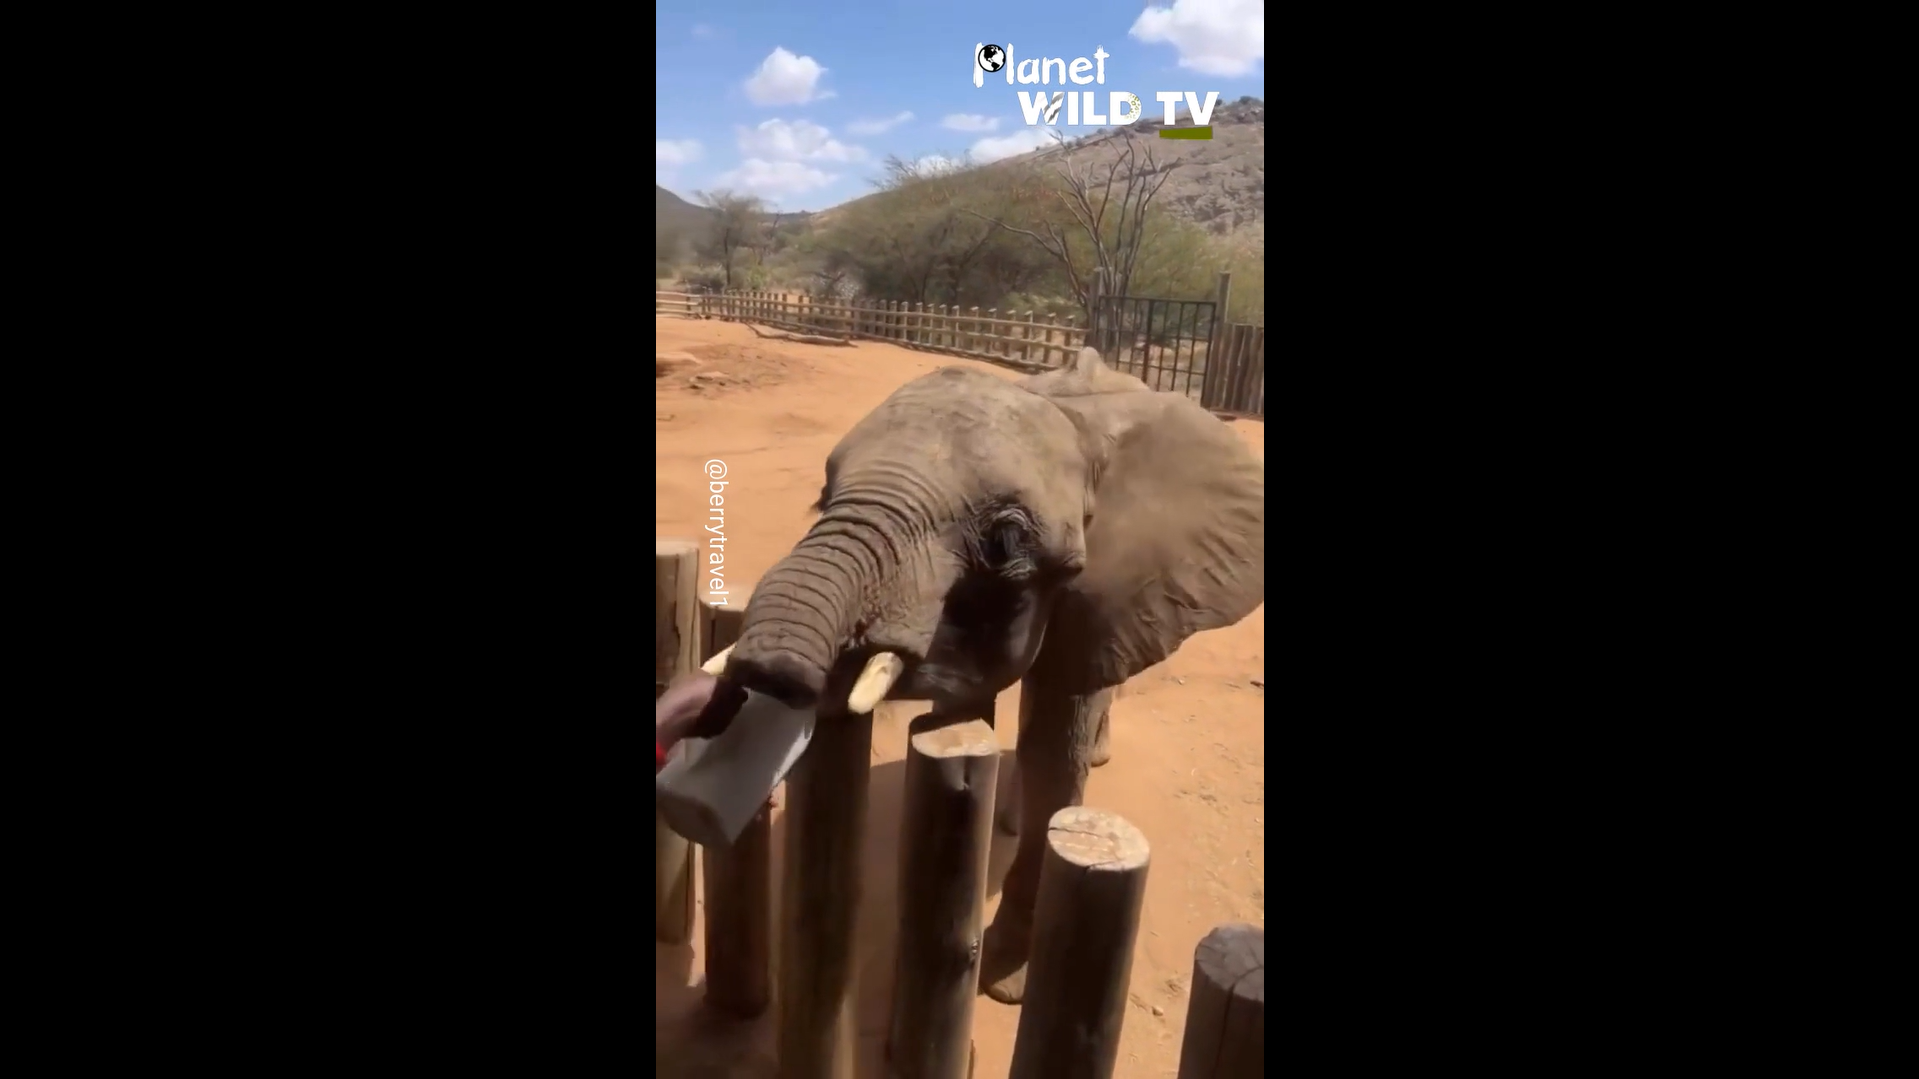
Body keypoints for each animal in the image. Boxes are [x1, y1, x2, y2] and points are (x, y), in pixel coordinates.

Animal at [696, 346, 1264, 1004]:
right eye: (824, 494)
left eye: (1007, 539)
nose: (767, 672)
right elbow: (971, 705)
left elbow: (1054, 750)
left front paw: (1005, 982)